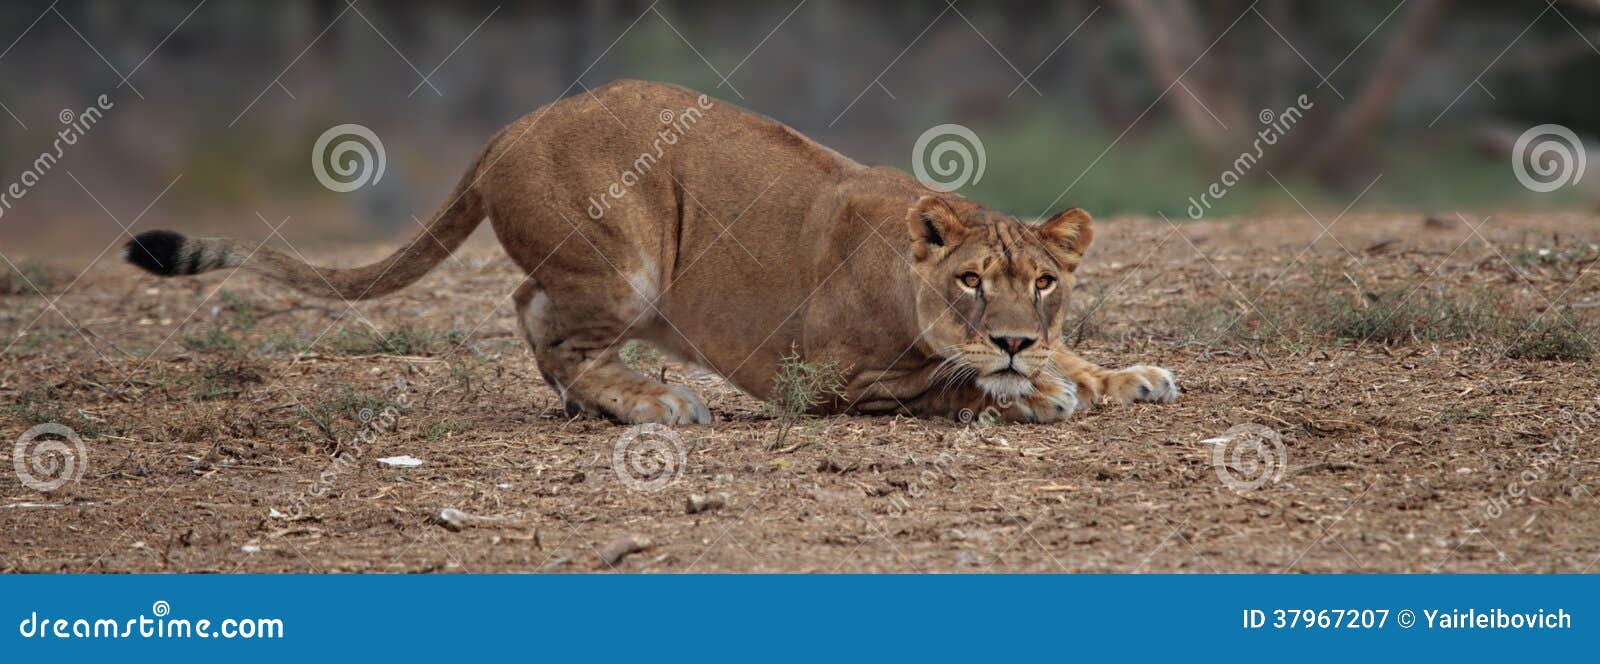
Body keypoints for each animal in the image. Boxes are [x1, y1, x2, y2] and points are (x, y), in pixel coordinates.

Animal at [125, 80, 1177, 425]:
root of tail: (512, 127)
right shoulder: (821, 378)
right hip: (627, 259)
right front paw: (1028, 391)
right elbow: (942, 384)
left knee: (532, 310)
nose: (1013, 340)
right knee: (549, 323)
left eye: (1044, 283)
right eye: (969, 284)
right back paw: (650, 403)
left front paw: (1116, 374)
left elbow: (1074, 358)